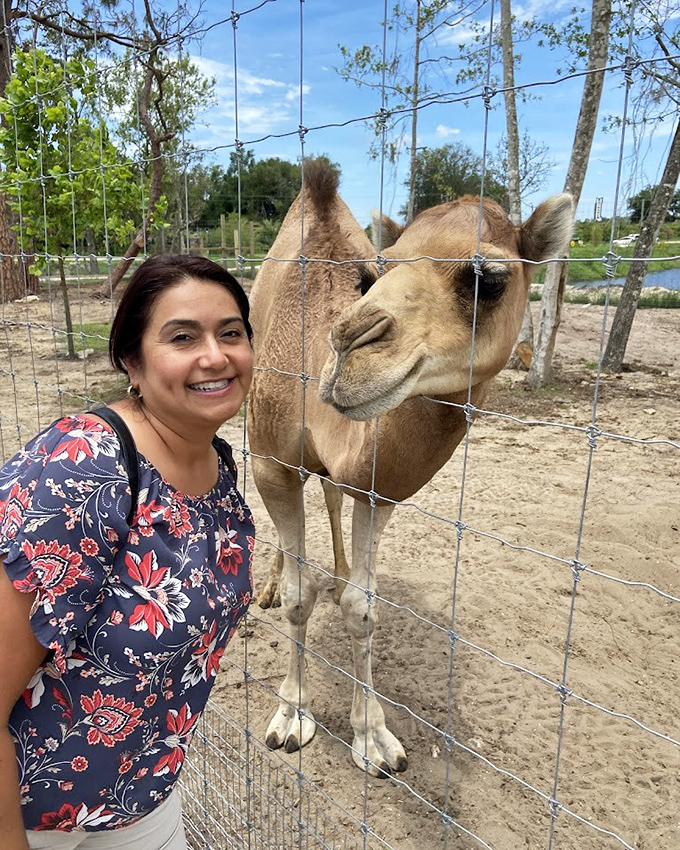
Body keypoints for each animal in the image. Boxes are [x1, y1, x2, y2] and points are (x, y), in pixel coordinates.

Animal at [247, 160, 573, 777]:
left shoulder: (378, 490)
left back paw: (339, 569)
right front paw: (291, 716)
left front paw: (373, 737)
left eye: (488, 278)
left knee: (330, 495)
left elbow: (362, 607)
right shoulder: (269, 461)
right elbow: (300, 597)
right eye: (377, 273)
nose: (347, 348)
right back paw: (270, 586)